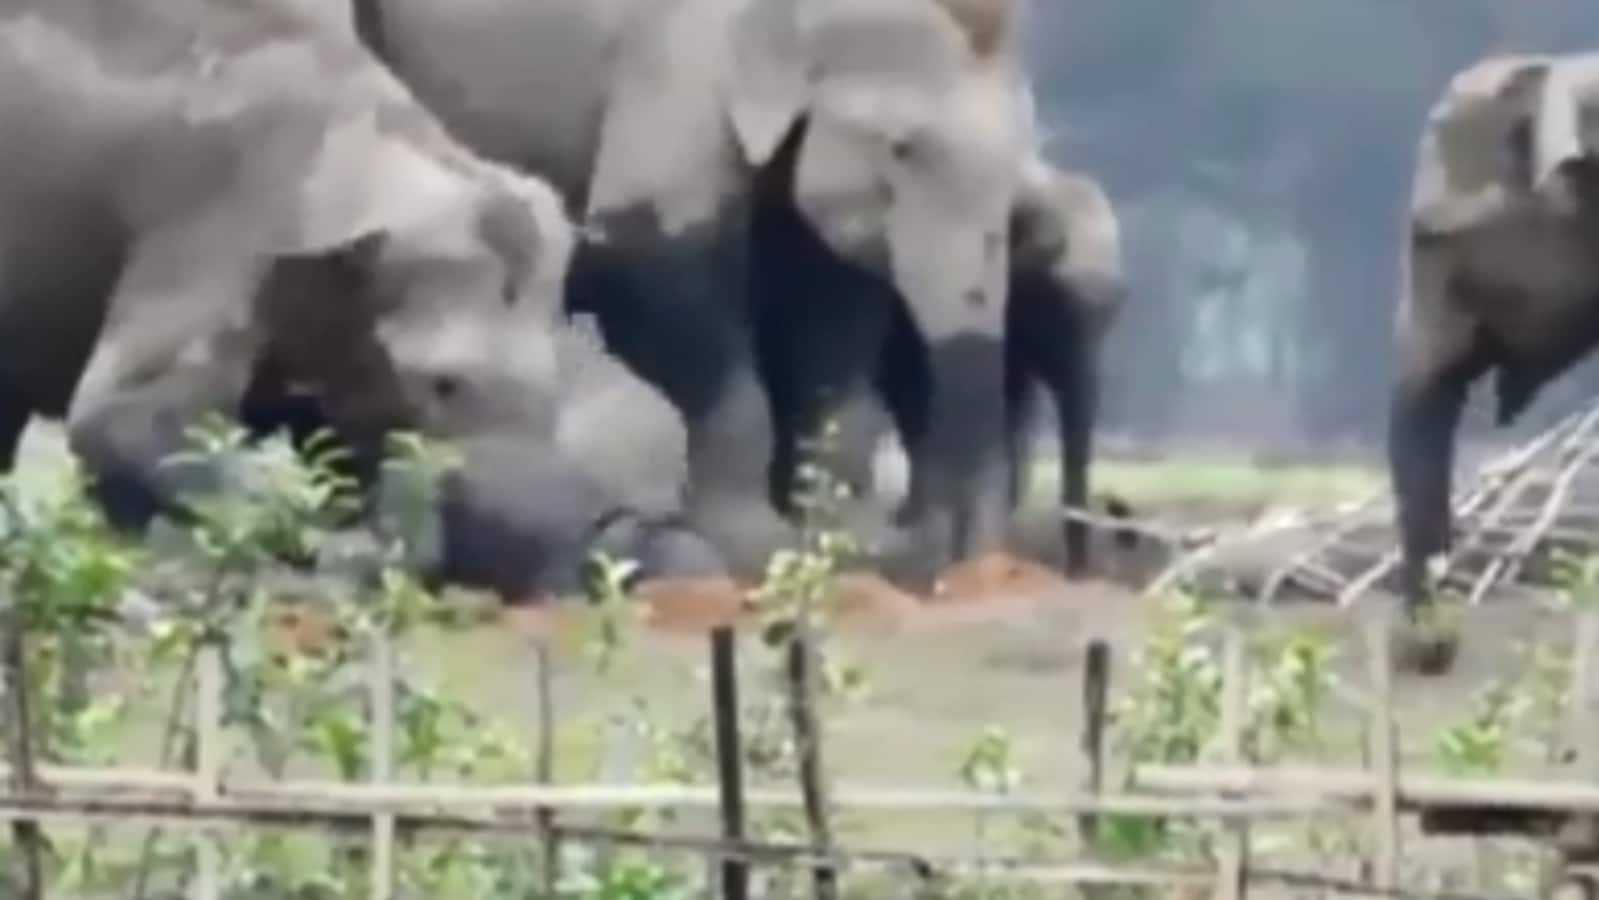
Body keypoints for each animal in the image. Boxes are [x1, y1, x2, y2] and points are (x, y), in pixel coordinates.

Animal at [342, 0, 1037, 582]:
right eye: (903, 148)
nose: (967, 565)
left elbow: (823, 297)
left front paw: (835, 541)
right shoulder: (678, 52)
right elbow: (643, 250)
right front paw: (757, 547)